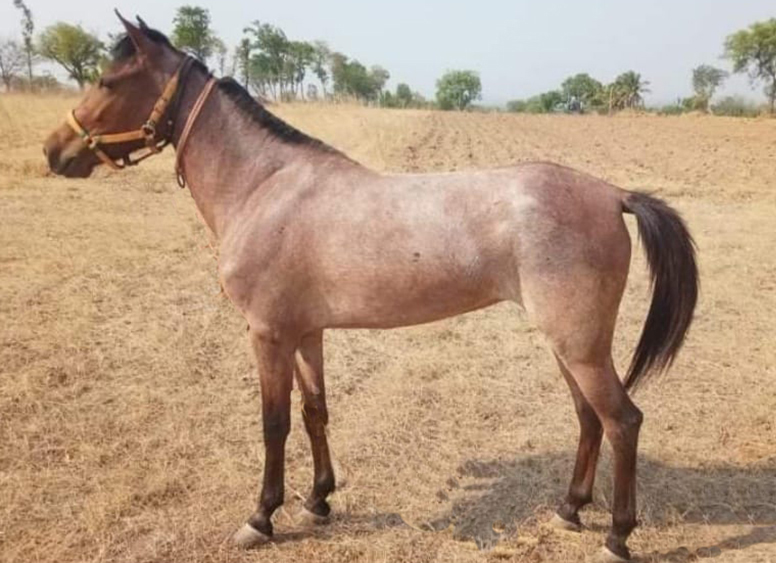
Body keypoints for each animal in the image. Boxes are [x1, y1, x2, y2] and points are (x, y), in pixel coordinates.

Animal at [43, 14, 698, 563]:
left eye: (106, 80)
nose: (54, 151)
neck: (264, 186)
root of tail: (612, 194)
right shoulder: (305, 332)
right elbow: (316, 412)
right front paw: (318, 500)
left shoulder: (267, 334)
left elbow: (274, 424)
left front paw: (261, 517)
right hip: (569, 345)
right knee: (589, 418)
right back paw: (569, 510)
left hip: (579, 345)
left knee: (622, 421)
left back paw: (617, 536)